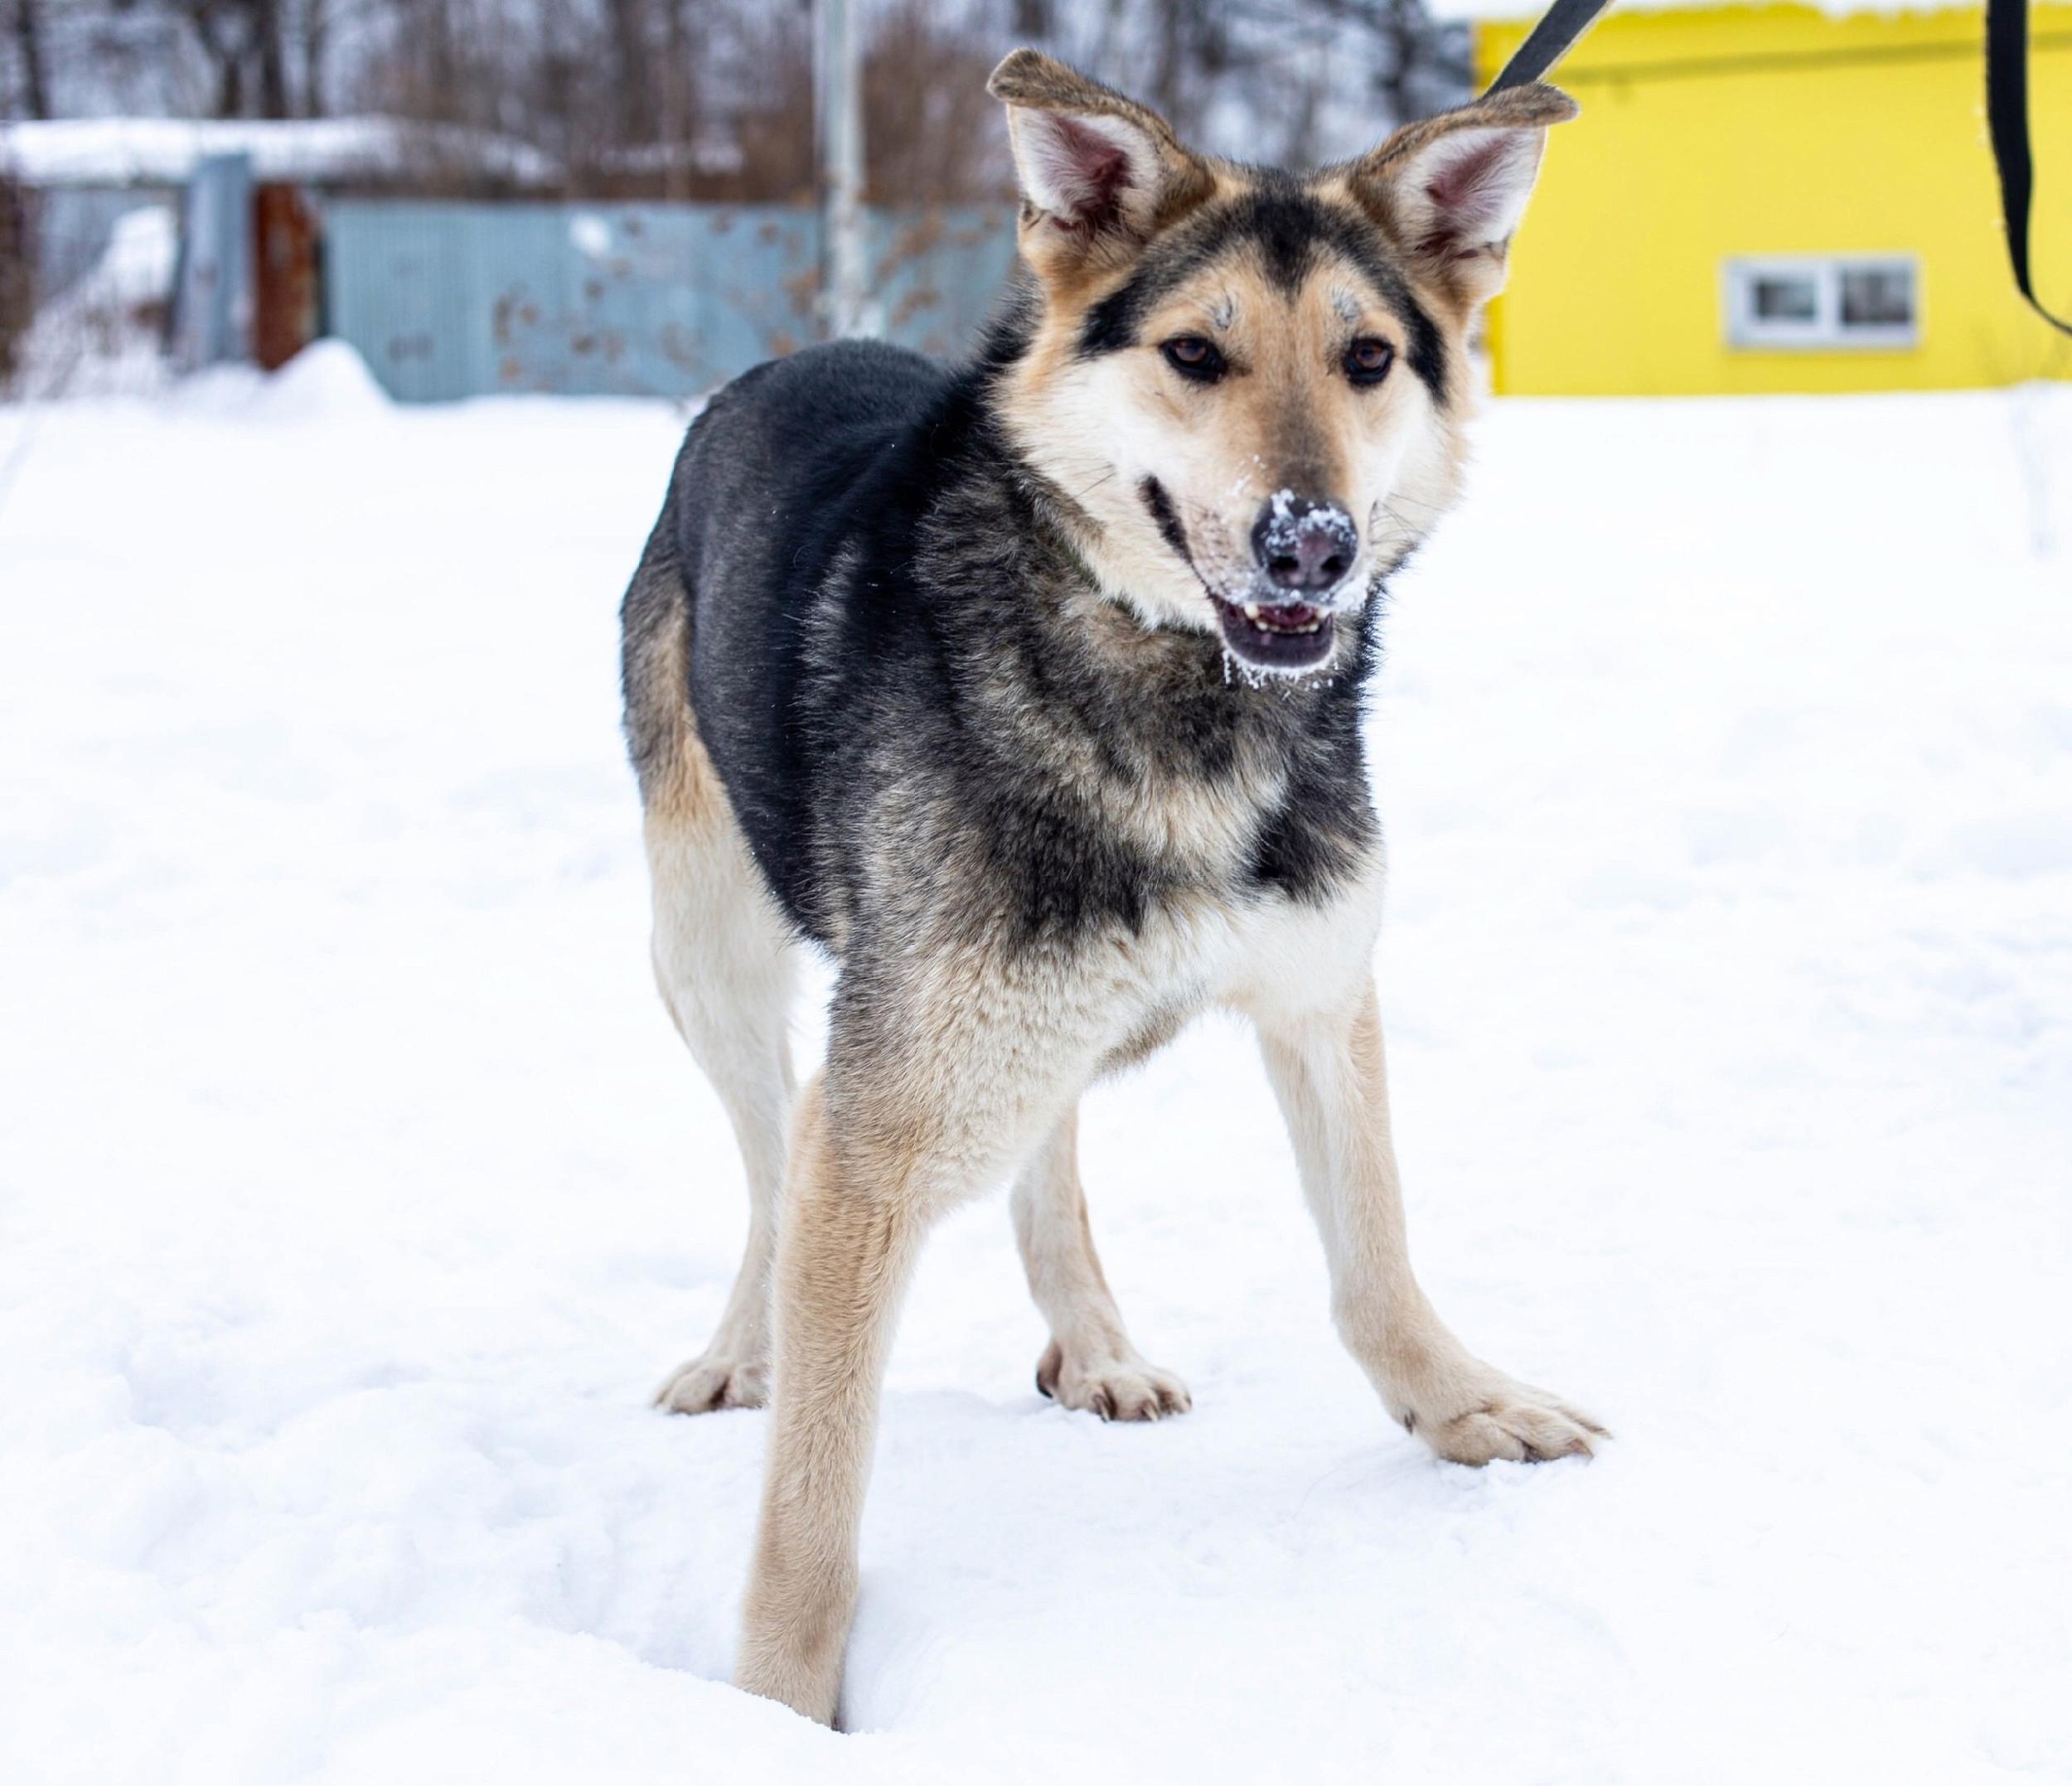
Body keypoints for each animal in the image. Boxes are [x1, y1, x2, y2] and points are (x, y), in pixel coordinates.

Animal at [622, 49, 1608, 1732]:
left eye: (1365, 358)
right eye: (1196, 353)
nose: (1311, 544)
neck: (1173, 694)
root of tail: (772, 368)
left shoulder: (1320, 993)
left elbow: (1375, 1256)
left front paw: (1461, 1405)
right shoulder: (871, 1130)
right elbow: (812, 1494)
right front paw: (771, 1709)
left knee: (1044, 1150)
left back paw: (1091, 1343)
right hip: (714, 955)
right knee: (763, 1160)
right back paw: (739, 1350)